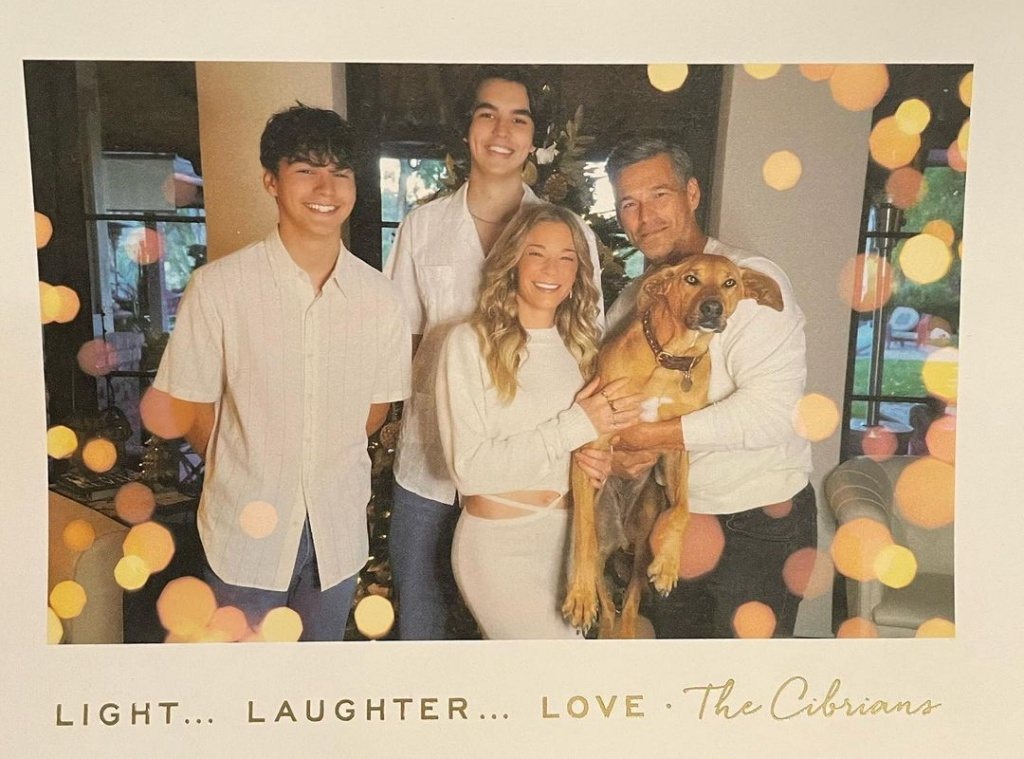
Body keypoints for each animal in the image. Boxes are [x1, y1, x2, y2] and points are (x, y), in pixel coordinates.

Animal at [562, 253, 784, 637]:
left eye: (730, 282)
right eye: (690, 279)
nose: (712, 309)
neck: (670, 357)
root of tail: (622, 534)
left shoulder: (676, 447)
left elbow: (682, 509)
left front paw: (668, 566)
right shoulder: (591, 445)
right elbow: (583, 538)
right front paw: (579, 598)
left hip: (641, 542)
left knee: (630, 599)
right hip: (605, 538)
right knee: (604, 587)